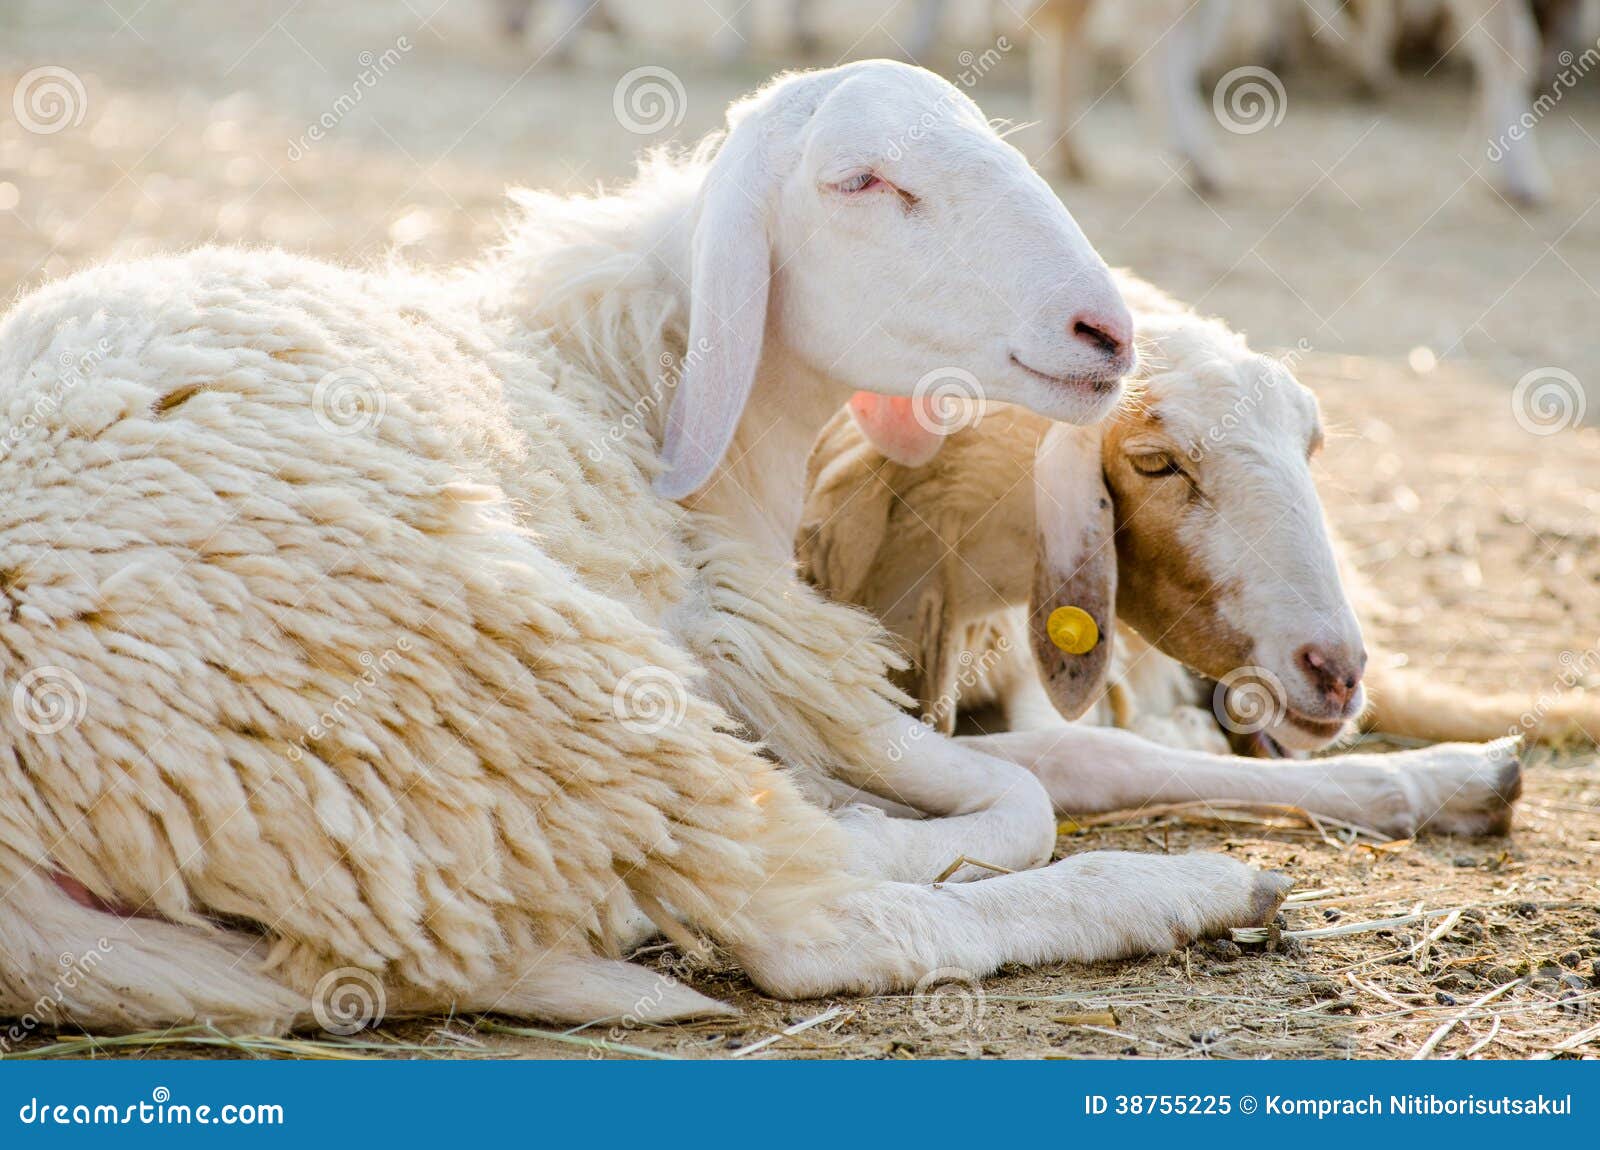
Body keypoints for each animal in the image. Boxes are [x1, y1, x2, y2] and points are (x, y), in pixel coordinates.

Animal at [0, 60, 1351, 1038]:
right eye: (863, 181)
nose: (1105, 331)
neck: (618, 376)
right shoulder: (746, 642)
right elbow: (1012, 798)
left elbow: (1078, 758)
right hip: (527, 684)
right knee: (809, 929)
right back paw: (1185, 889)